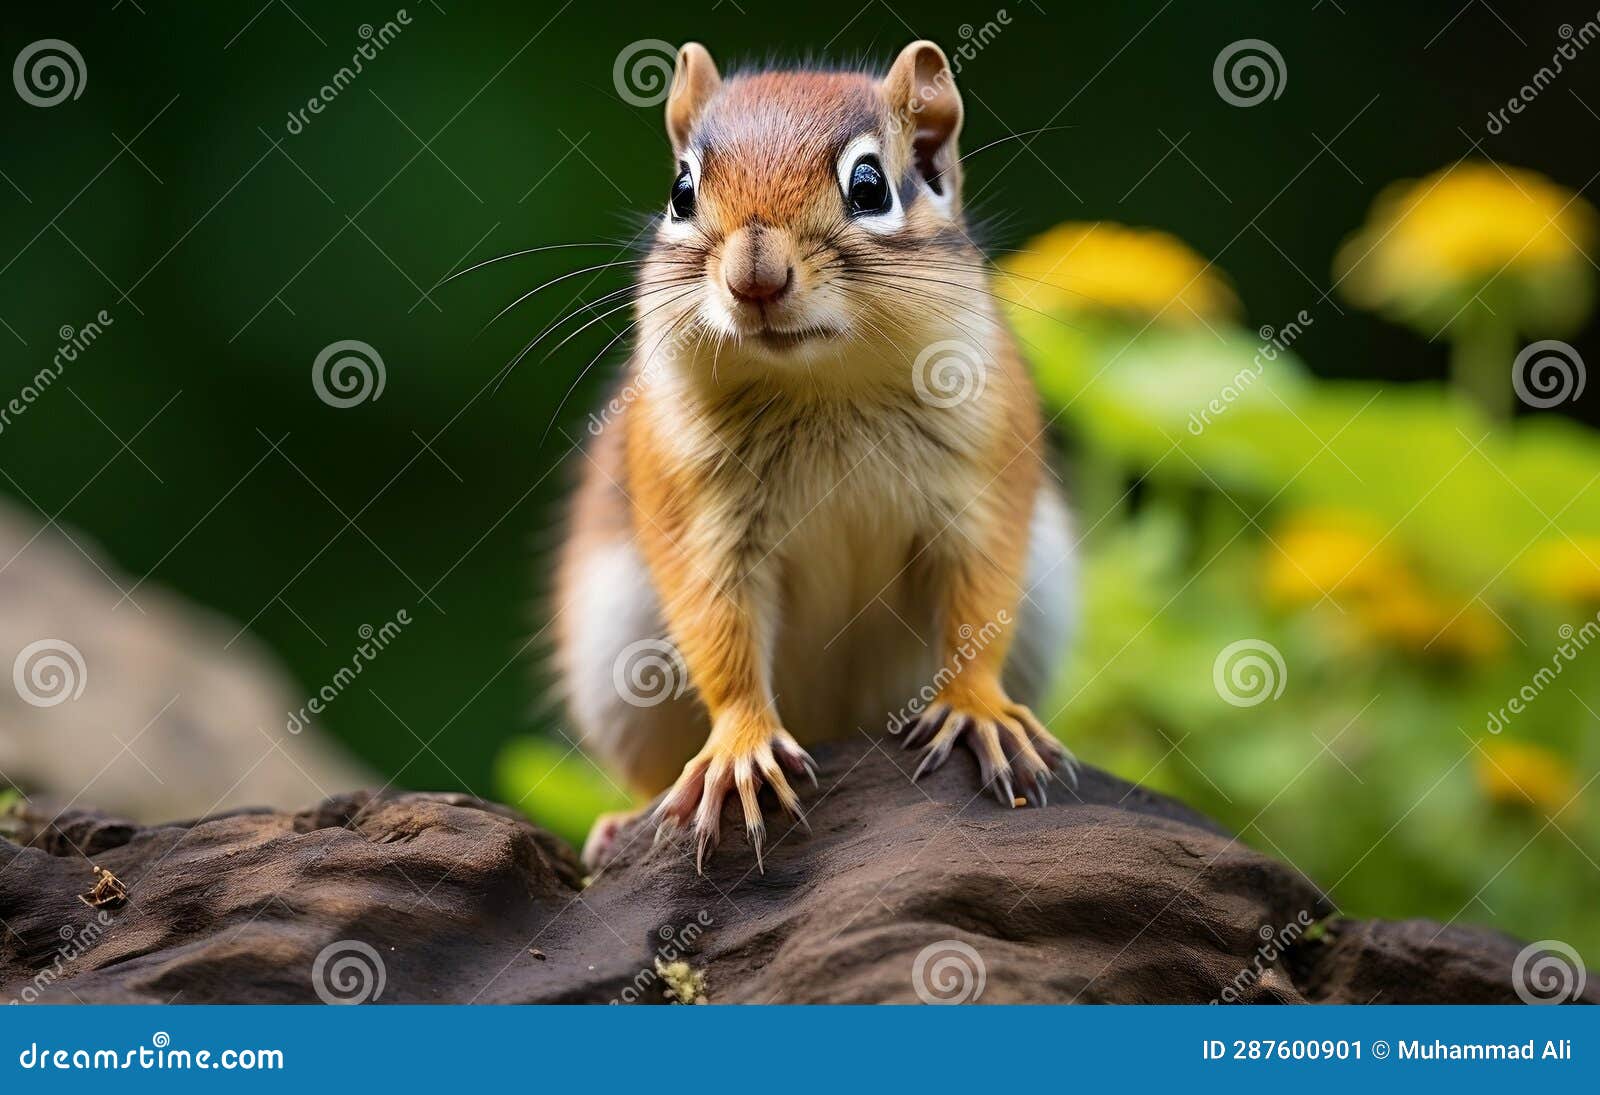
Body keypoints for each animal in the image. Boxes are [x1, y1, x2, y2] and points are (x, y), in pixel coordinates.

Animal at [554, 40, 1076, 872]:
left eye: (869, 186)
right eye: (680, 191)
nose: (755, 276)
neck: (823, 386)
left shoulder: (983, 492)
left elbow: (979, 604)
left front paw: (976, 707)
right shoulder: (700, 516)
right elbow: (721, 630)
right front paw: (741, 745)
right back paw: (619, 822)